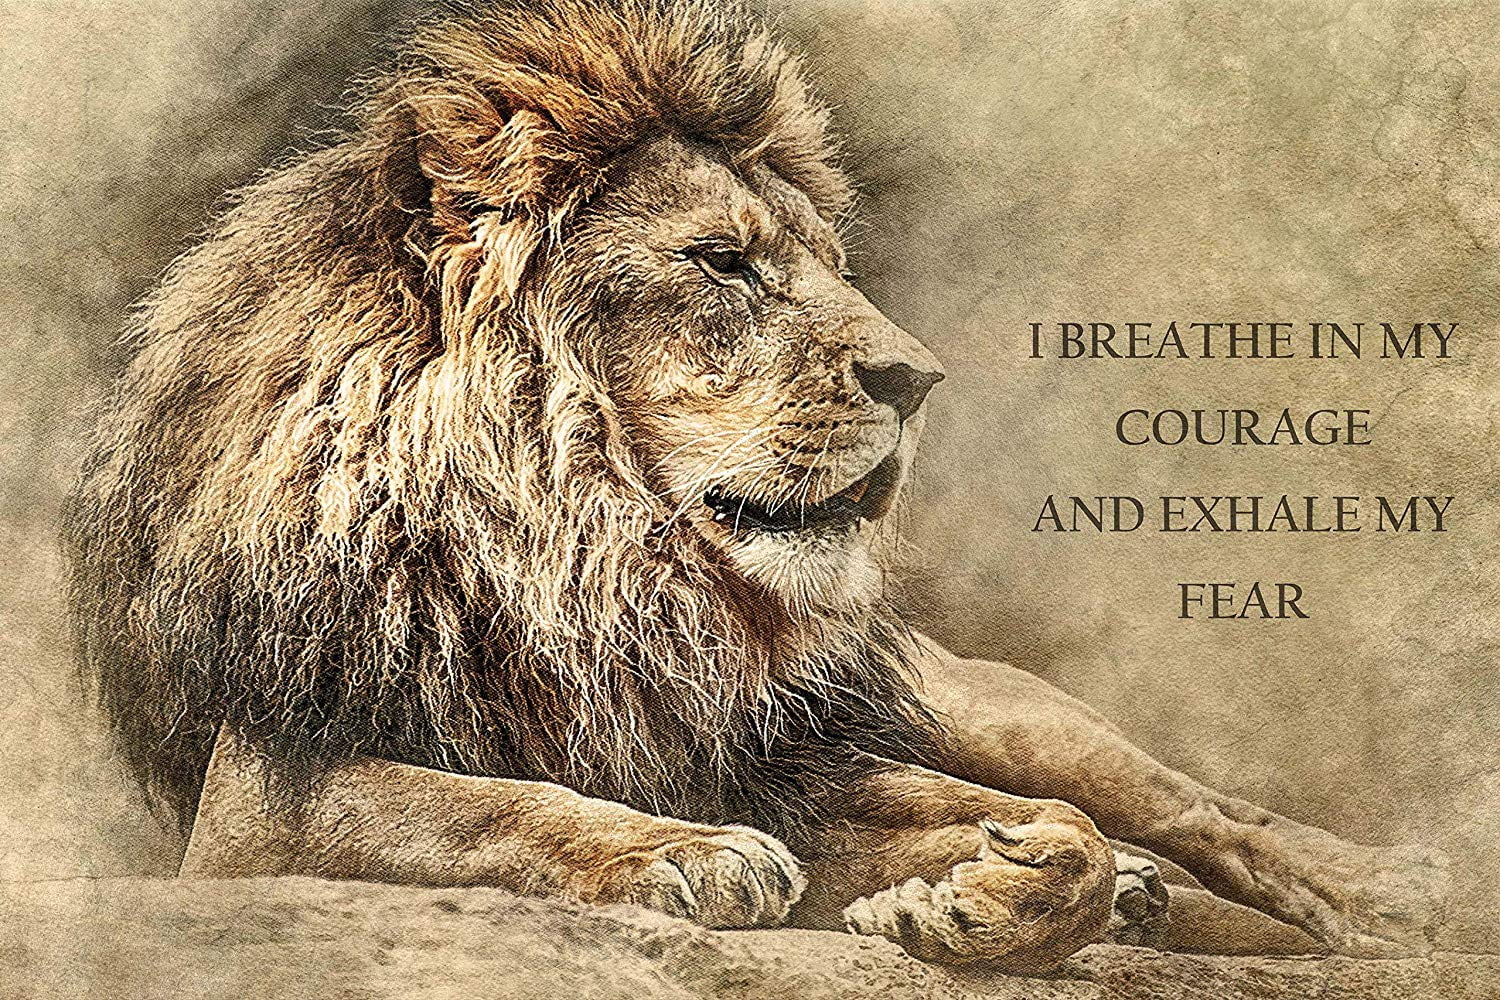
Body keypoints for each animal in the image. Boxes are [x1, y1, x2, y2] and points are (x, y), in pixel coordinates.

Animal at [64, 0, 1445, 973]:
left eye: (829, 263)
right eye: (722, 263)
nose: (917, 376)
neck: (590, 560)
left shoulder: (785, 750)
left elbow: (1064, 825)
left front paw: (994, 890)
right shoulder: (263, 799)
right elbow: (477, 808)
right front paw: (689, 853)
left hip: (978, 697)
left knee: (1188, 804)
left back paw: (1384, 888)